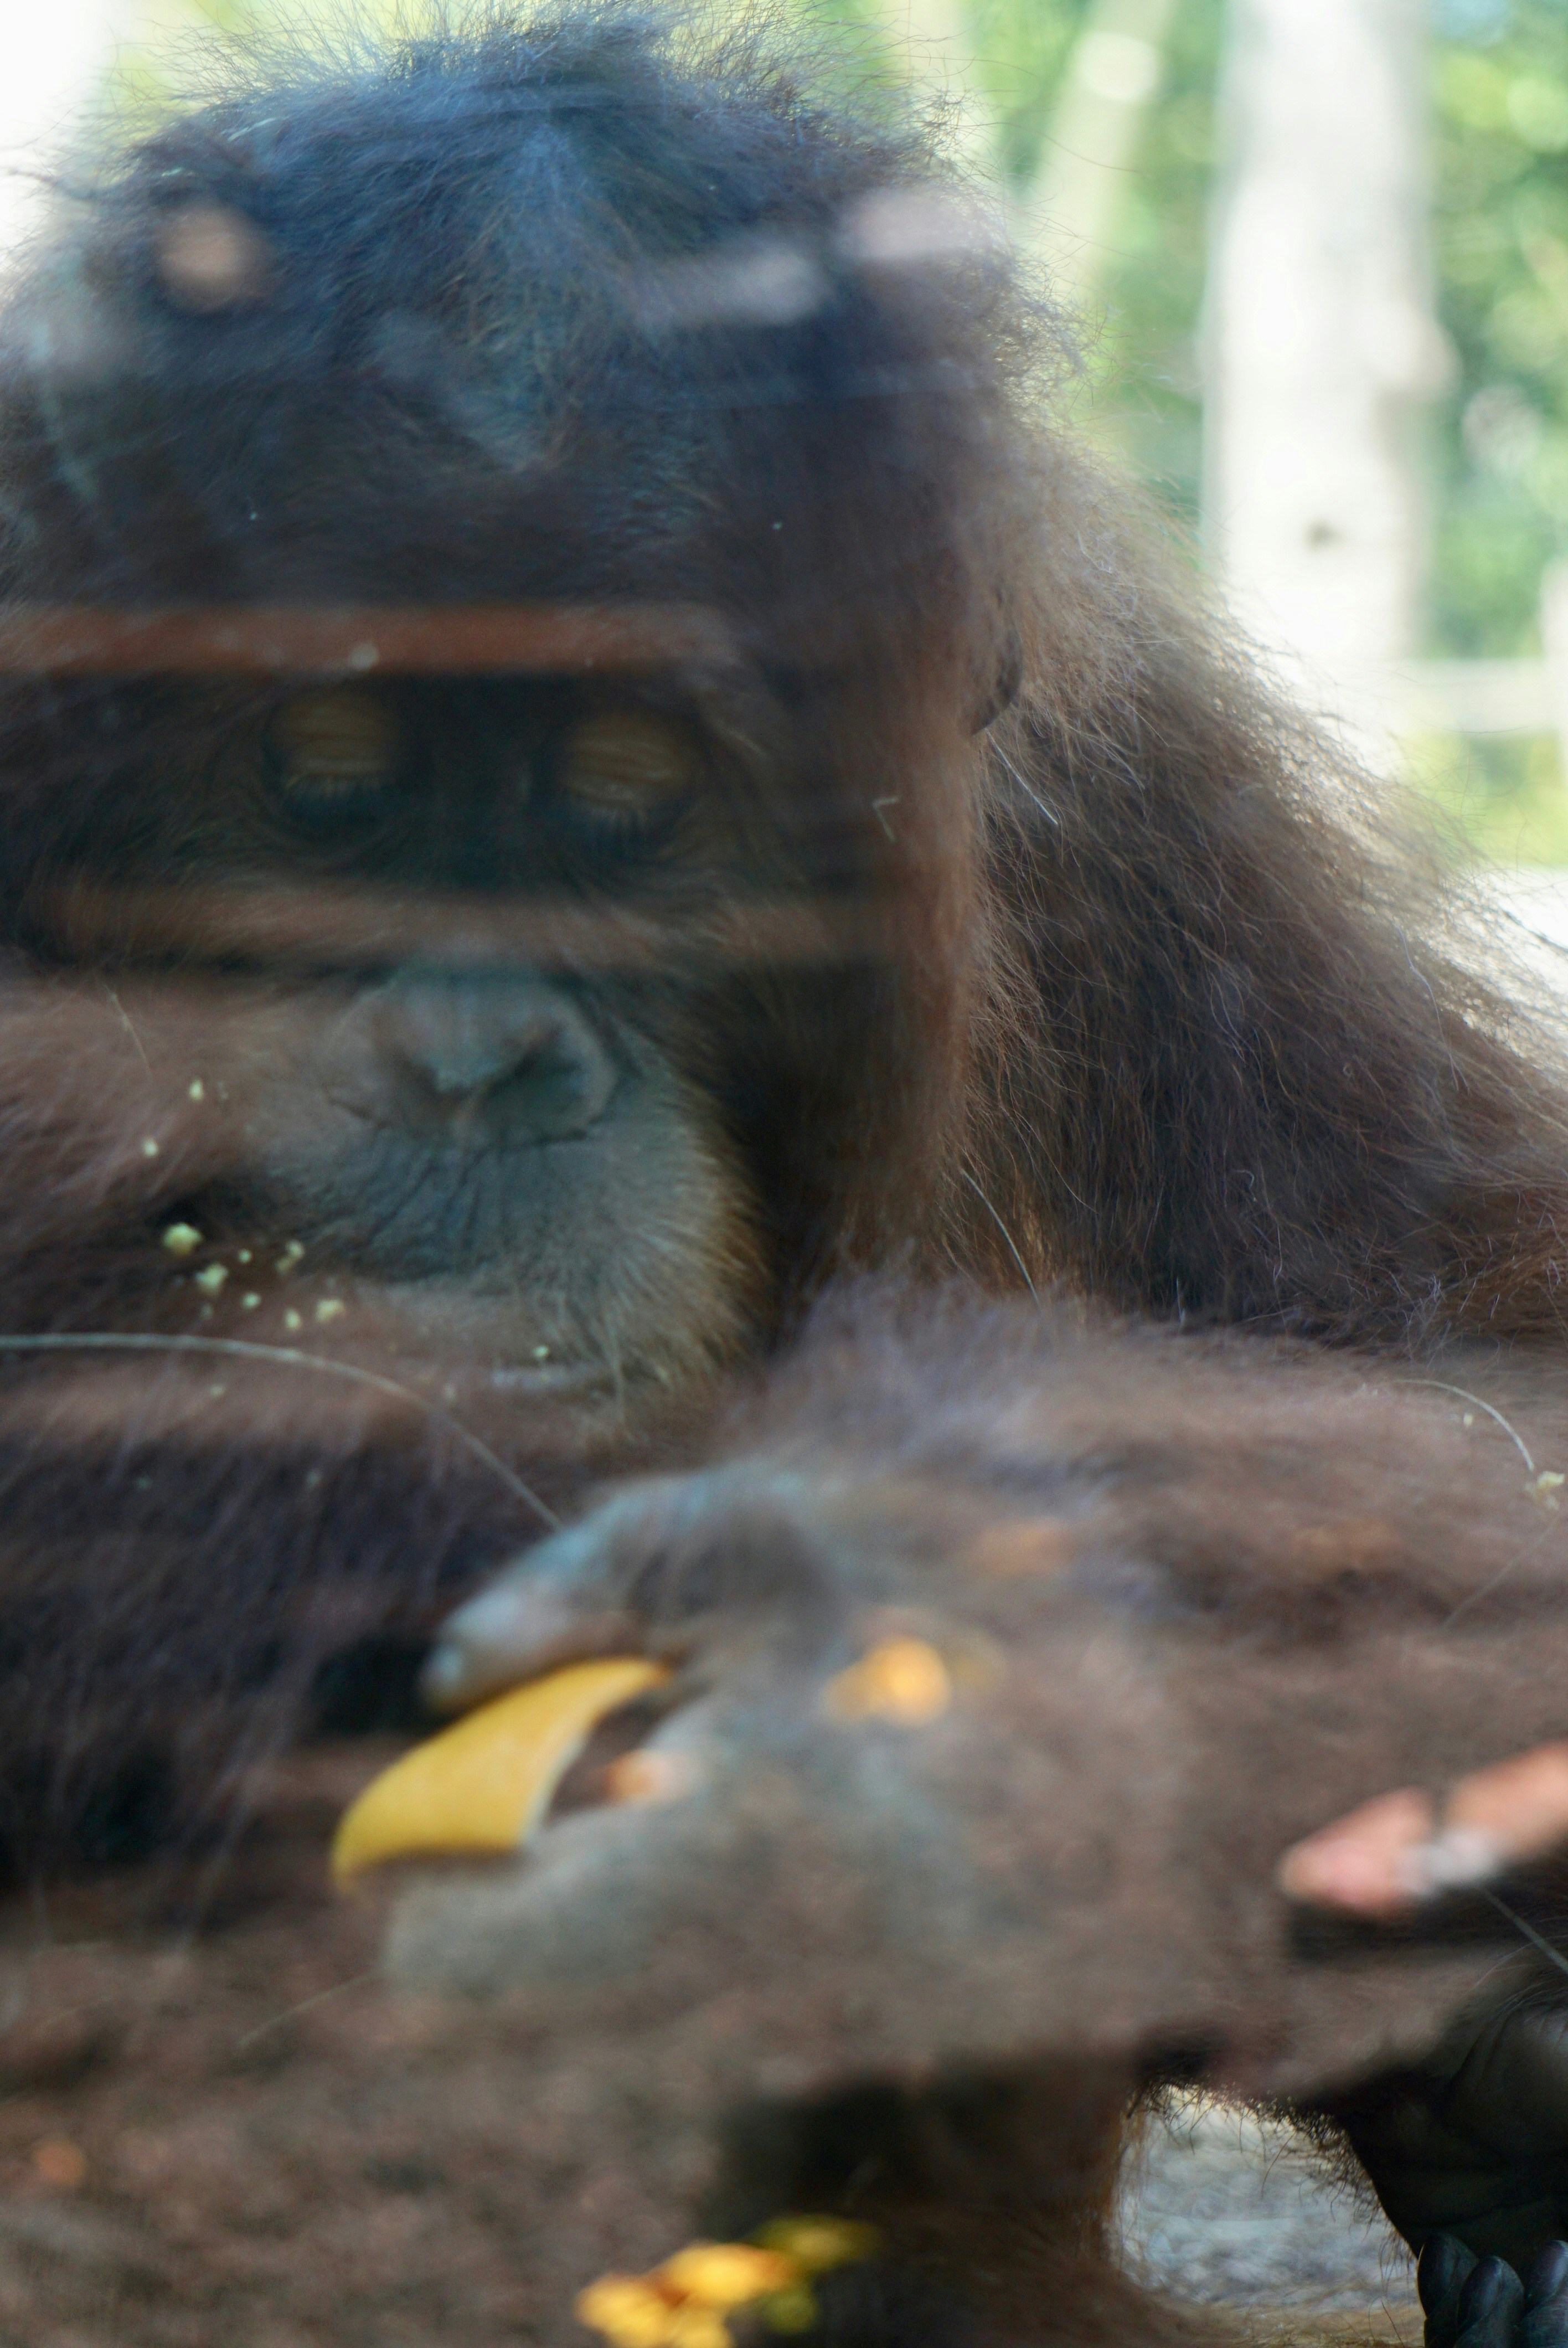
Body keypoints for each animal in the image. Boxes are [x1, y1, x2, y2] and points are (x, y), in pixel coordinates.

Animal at [0, 12, 1567, 2345]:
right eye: (318, 781)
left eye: (628, 803)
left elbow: (1449, 1308)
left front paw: (905, 1701)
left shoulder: (1127, 777)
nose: (476, 1058)